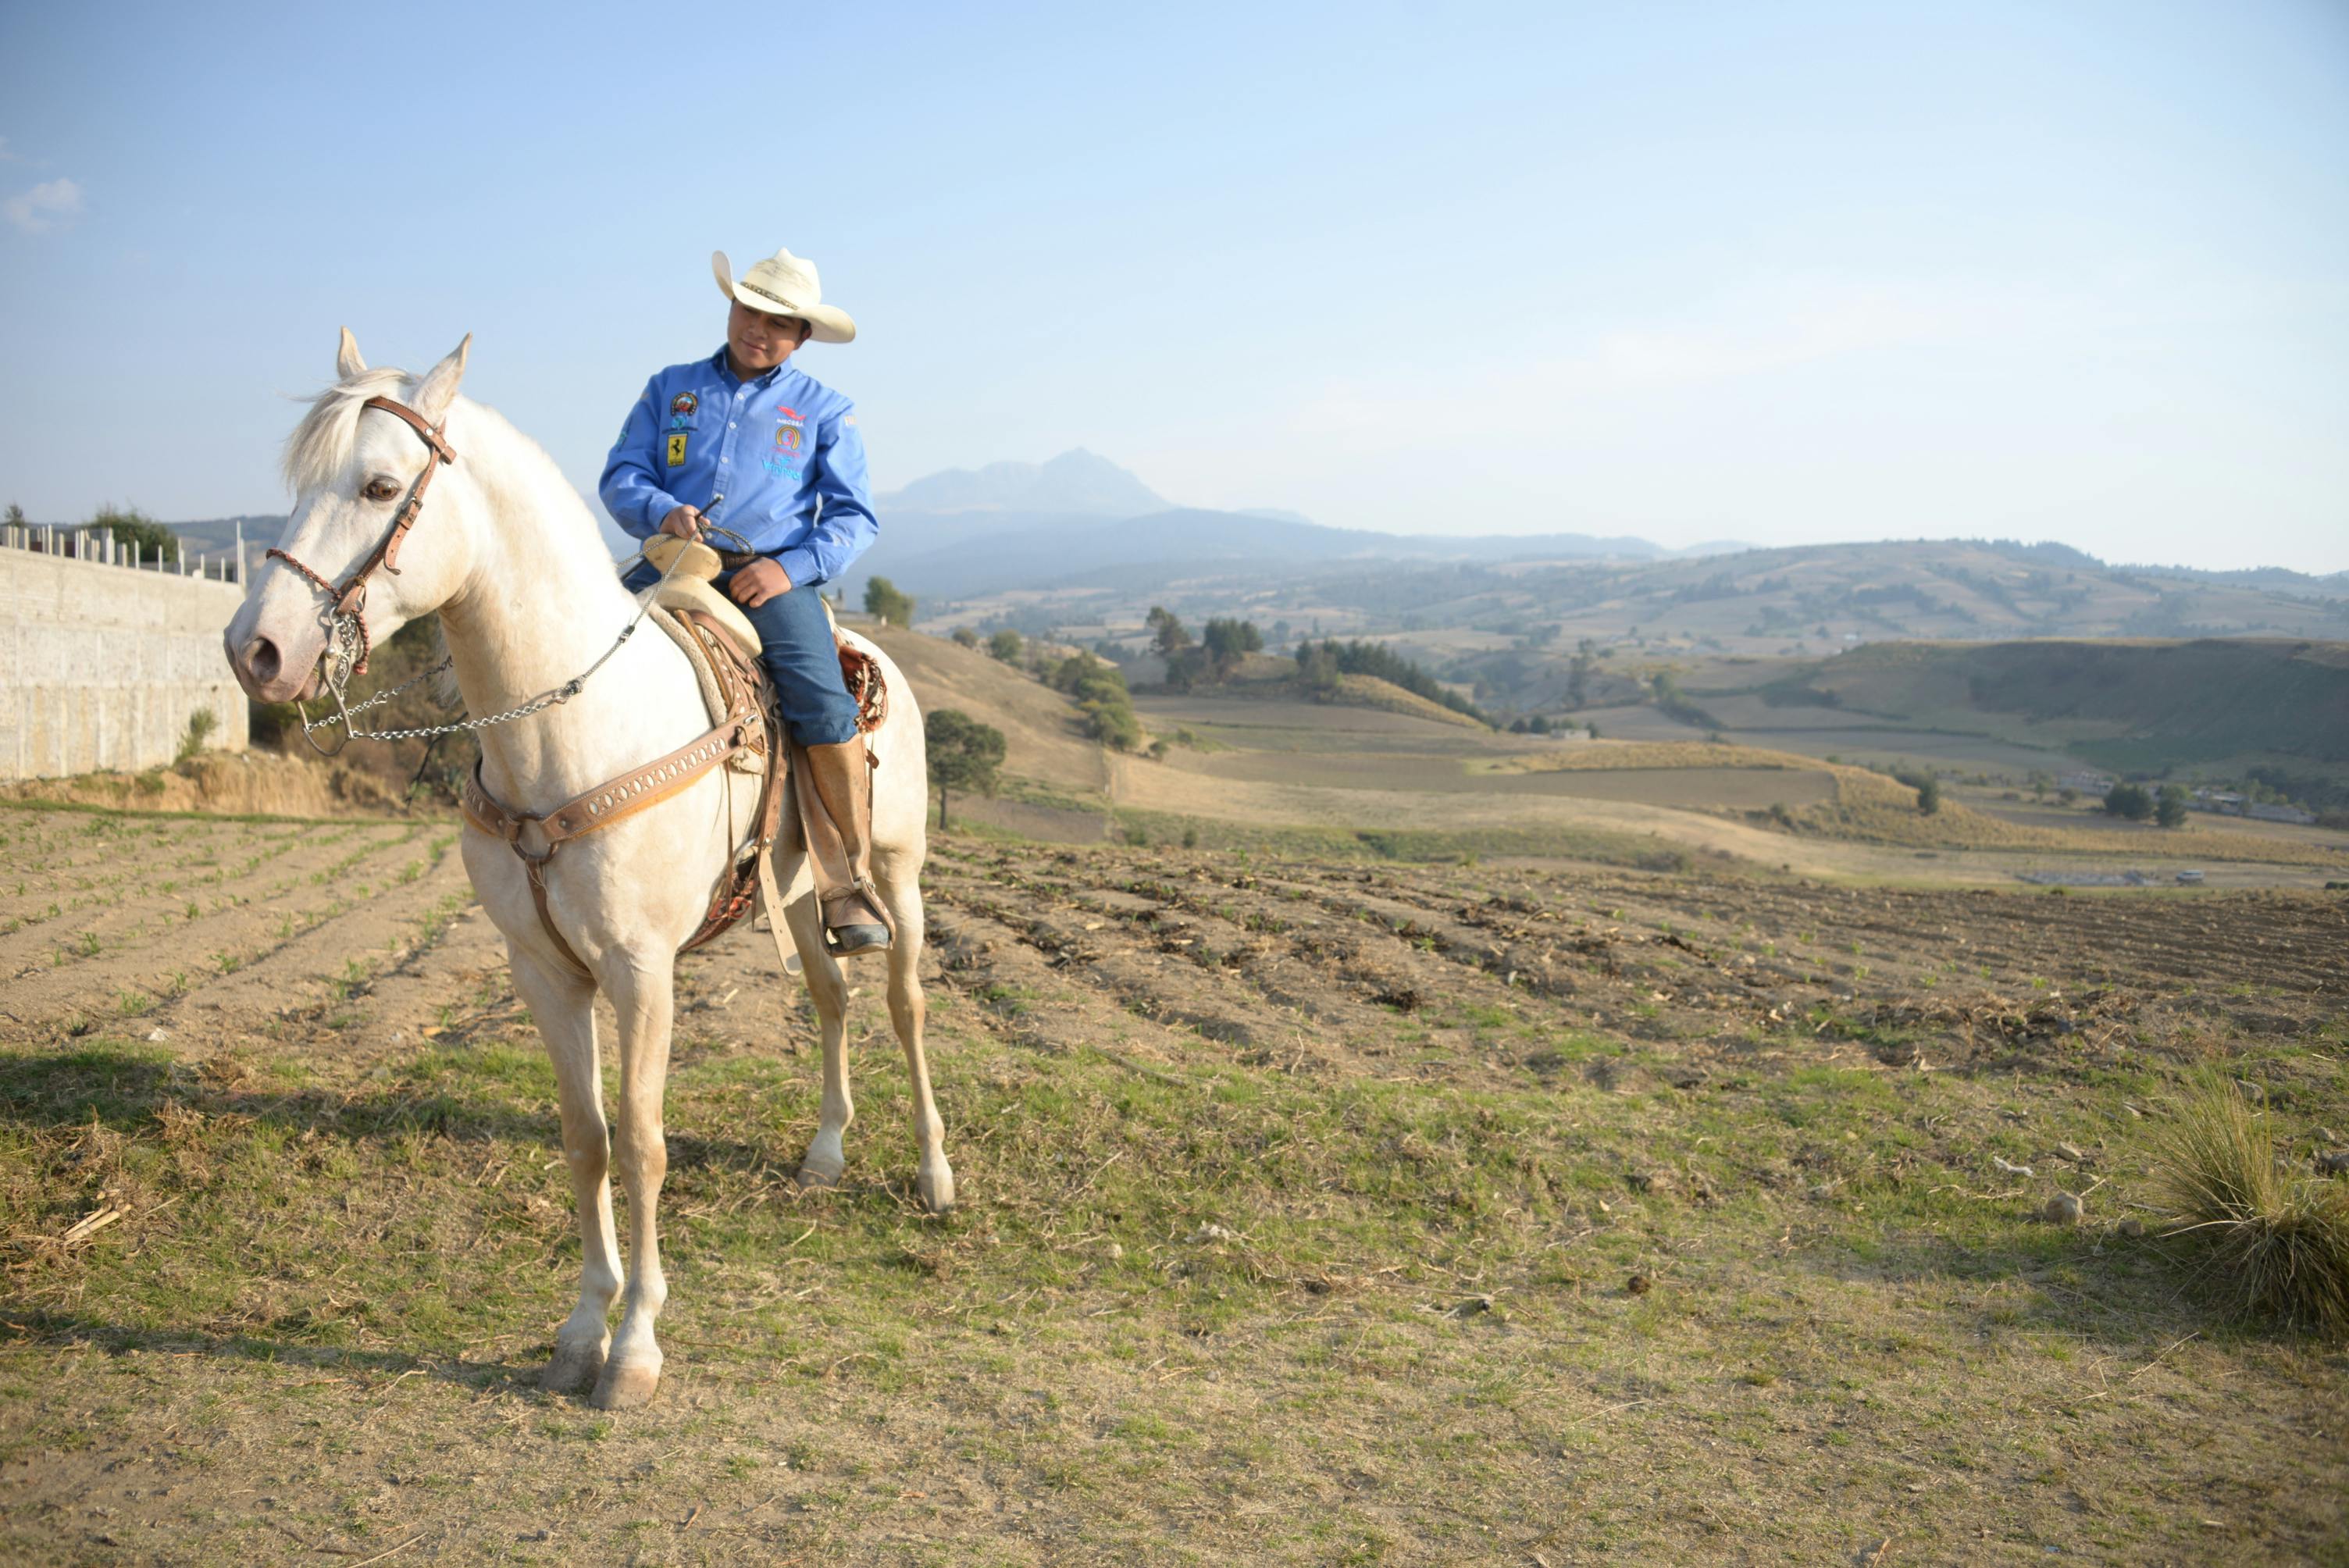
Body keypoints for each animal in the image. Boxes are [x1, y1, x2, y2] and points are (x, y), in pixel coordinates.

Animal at [224, 331, 952, 1410]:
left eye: (380, 485)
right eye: (297, 484)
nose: (257, 649)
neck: (563, 733)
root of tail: (871, 656)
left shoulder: (641, 969)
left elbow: (644, 1142)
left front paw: (636, 1346)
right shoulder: (543, 970)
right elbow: (586, 1136)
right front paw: (579, 1333)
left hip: (894, 872)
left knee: (902, 1000)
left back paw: (934, 1171)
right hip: (793, 887)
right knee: (830, 995)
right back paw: (825, 1152)